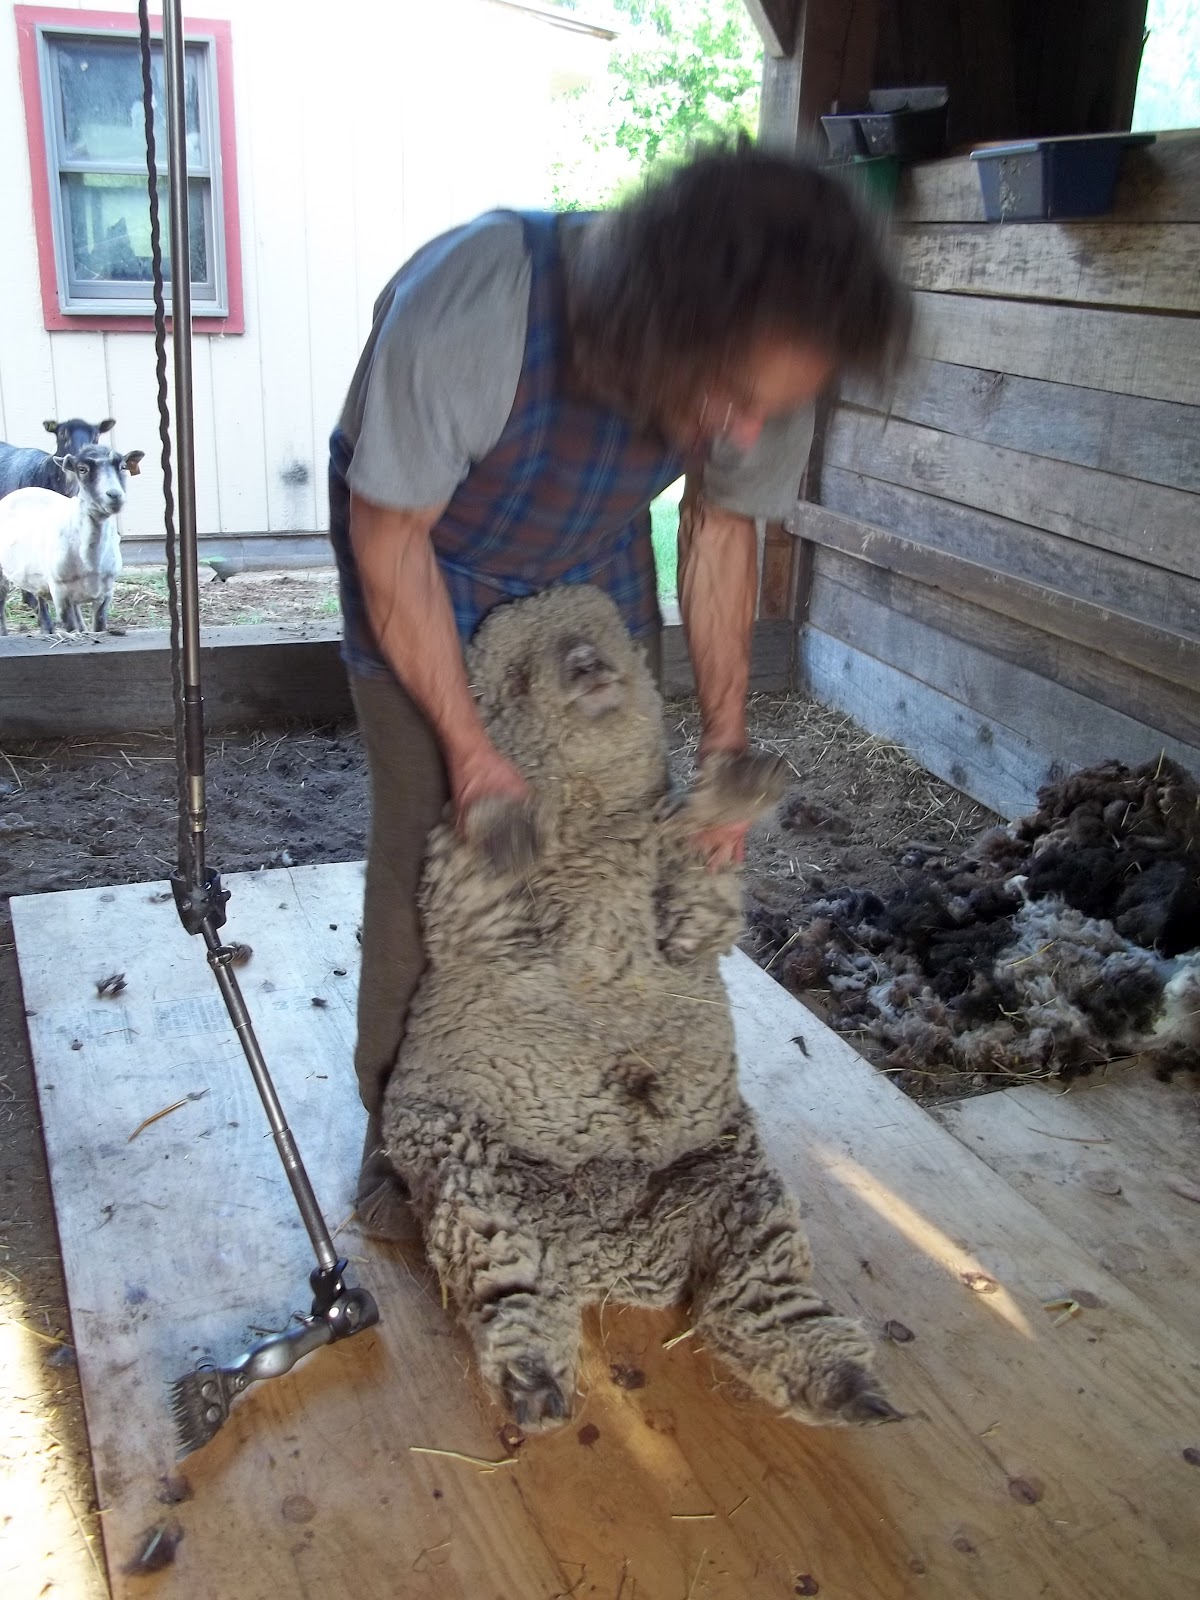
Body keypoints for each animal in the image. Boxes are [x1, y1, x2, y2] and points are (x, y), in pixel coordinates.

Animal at [0, 444, 144, 635]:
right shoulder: (60, 595)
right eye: (82, 469)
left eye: (123, 467)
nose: (115, 495)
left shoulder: (105, 594)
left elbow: (99, 627)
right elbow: (70, 627)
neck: (90, 560)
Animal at [381, 585, 900, 1434]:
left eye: (606, 635)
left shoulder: (690, 920)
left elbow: (701, 879)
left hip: (736, 1187)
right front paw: (507, 826)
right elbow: (487, 879)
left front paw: (742, 785)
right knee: (508, 1289)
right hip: (471, 1179)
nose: (587, 667)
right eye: (519, 677)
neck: (597, 832)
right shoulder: (469, 919)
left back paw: (842, 1381)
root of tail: (610, 1259)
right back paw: (532, 1382)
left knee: (753, 1303)